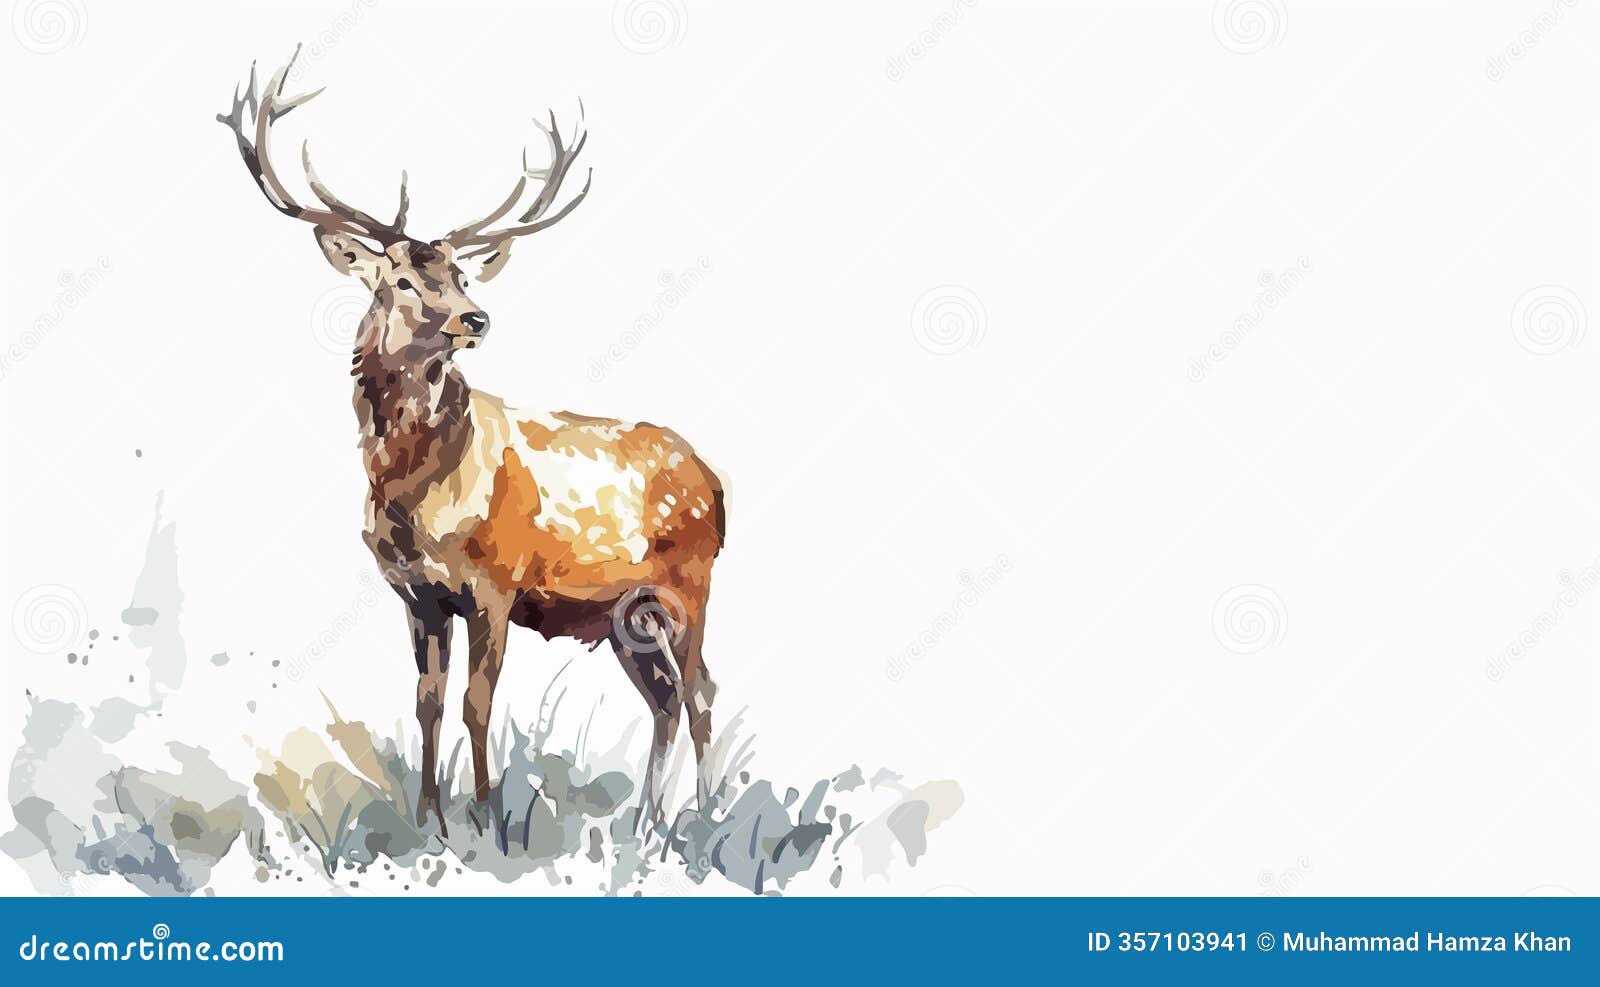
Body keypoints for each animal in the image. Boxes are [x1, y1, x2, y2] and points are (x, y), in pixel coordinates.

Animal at [218, 48, 725, 836]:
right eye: (399, 279)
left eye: (459, 273)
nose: (476, 318)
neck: (420, 496)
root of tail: (717, 482)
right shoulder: (417, 594)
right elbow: (426, 704)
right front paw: (429, 816)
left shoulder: (496, 582)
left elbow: (476, 704)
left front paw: (488, 821)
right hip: (627, 615)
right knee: (666, 698)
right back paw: (648, 823)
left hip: (689, 585)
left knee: (701, 693)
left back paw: (699, 825)